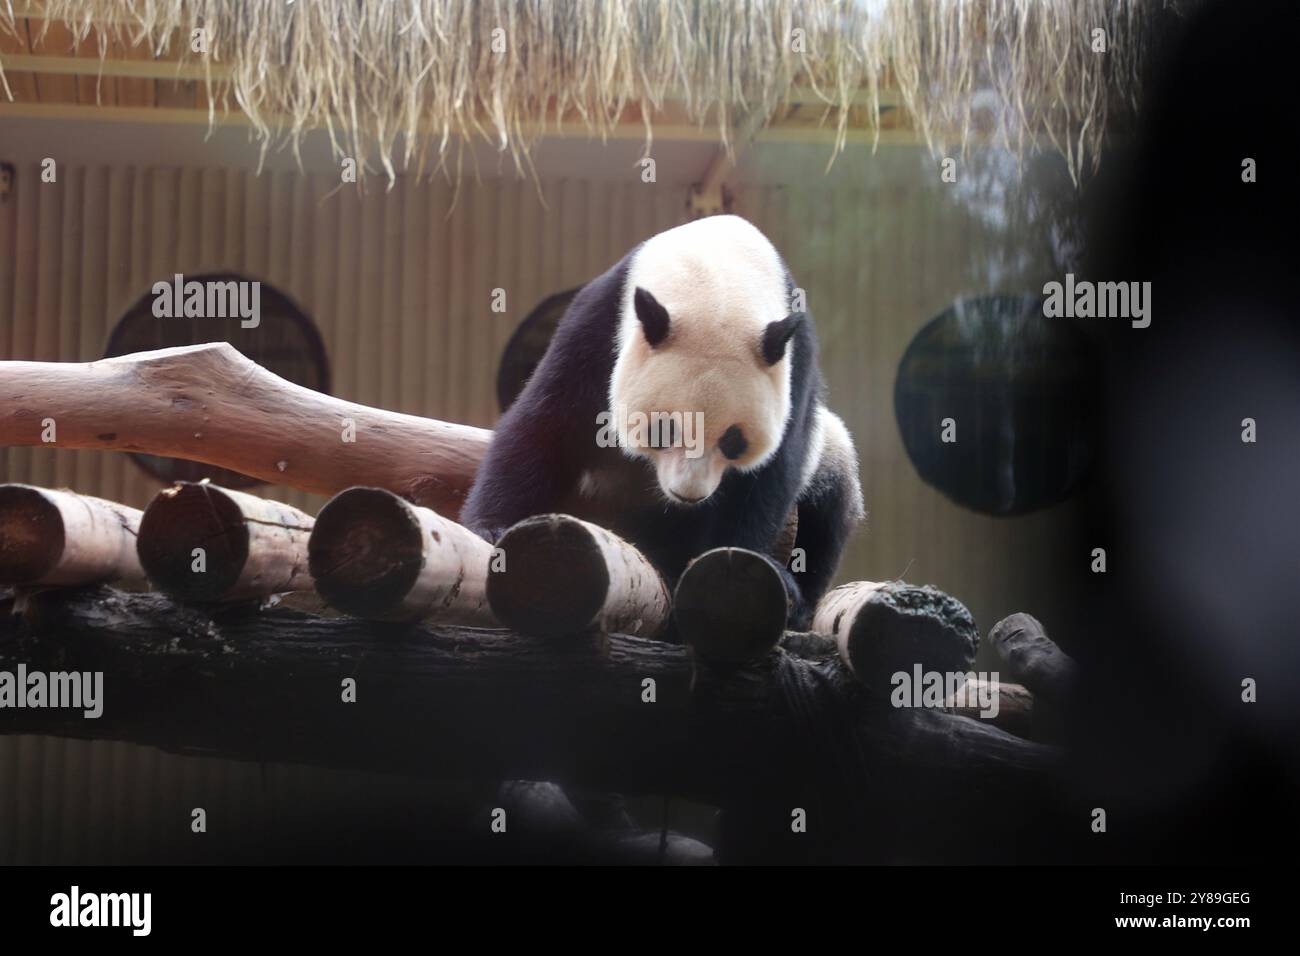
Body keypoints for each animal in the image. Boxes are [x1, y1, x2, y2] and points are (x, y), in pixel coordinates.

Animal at [462, 214, 864, 630]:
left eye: (733, 441)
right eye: (665, 429)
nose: (689, 494)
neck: (718, 277)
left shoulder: (793, 365)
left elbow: (768, 476)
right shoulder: (600, 322)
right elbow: (545, 424)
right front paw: (492, 527)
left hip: (828, 455)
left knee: (828, 511)